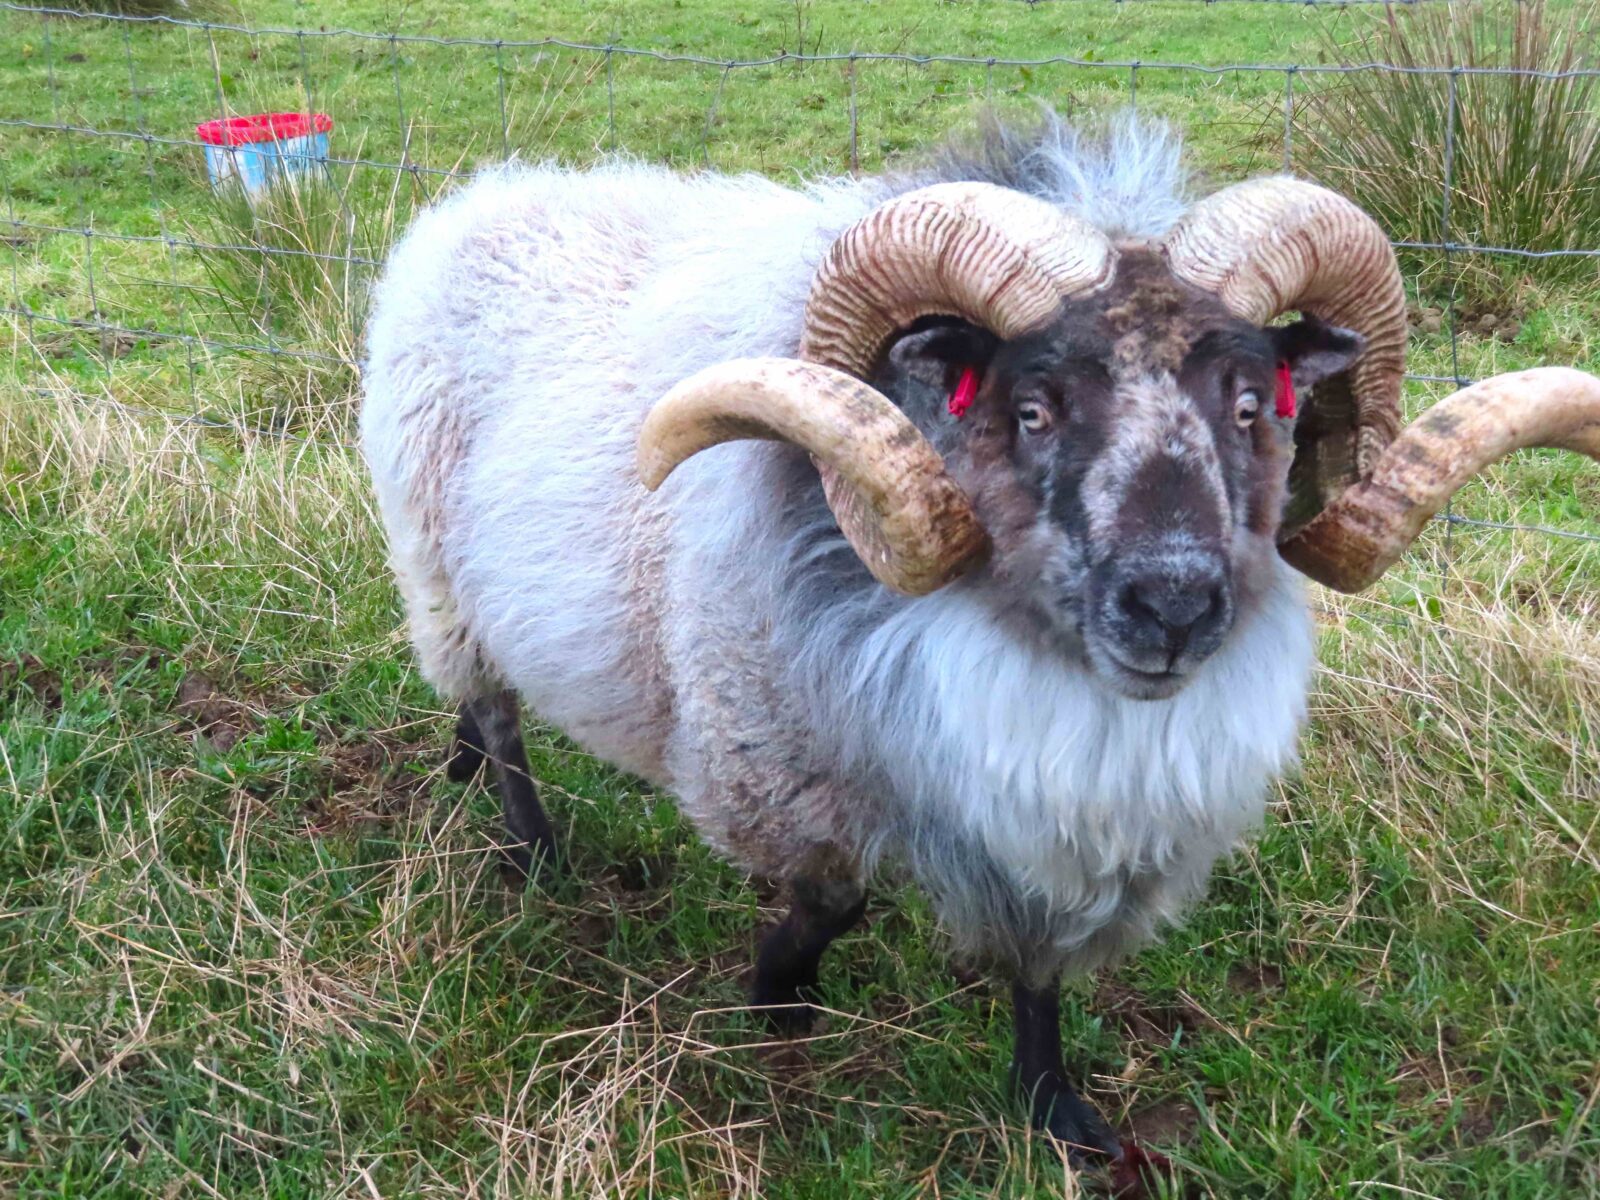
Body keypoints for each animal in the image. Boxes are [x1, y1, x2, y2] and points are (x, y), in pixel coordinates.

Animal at [359, 110, 1600, 1171]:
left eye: (1253, 405)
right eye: (1031, 408)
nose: (1173, 607)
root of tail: (490, 192)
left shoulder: (1073, 826)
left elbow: (1040, 974)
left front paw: (1058, 1115)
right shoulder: (772, 758)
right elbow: (831, 903)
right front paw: (777, 1003)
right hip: (436, 568)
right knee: (493, 706)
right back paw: (531, 850)